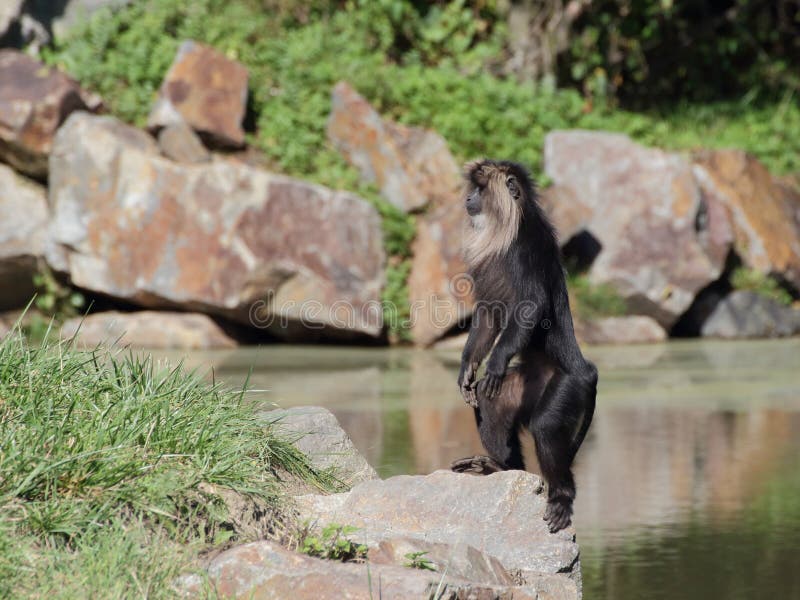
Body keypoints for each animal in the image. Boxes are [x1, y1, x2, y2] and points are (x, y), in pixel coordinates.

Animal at [451, 159, 597, 534]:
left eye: (480, 190)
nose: (468, 198)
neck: (509, 226)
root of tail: (587, 370)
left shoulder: (526, 249)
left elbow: (531, 306)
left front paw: (495, 361)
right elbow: (488, 316)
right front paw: (467, 370)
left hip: (568, 384)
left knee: (545, 425)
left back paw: (562, 497)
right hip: (523, 387)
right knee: (491, 407)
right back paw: (500, 468)